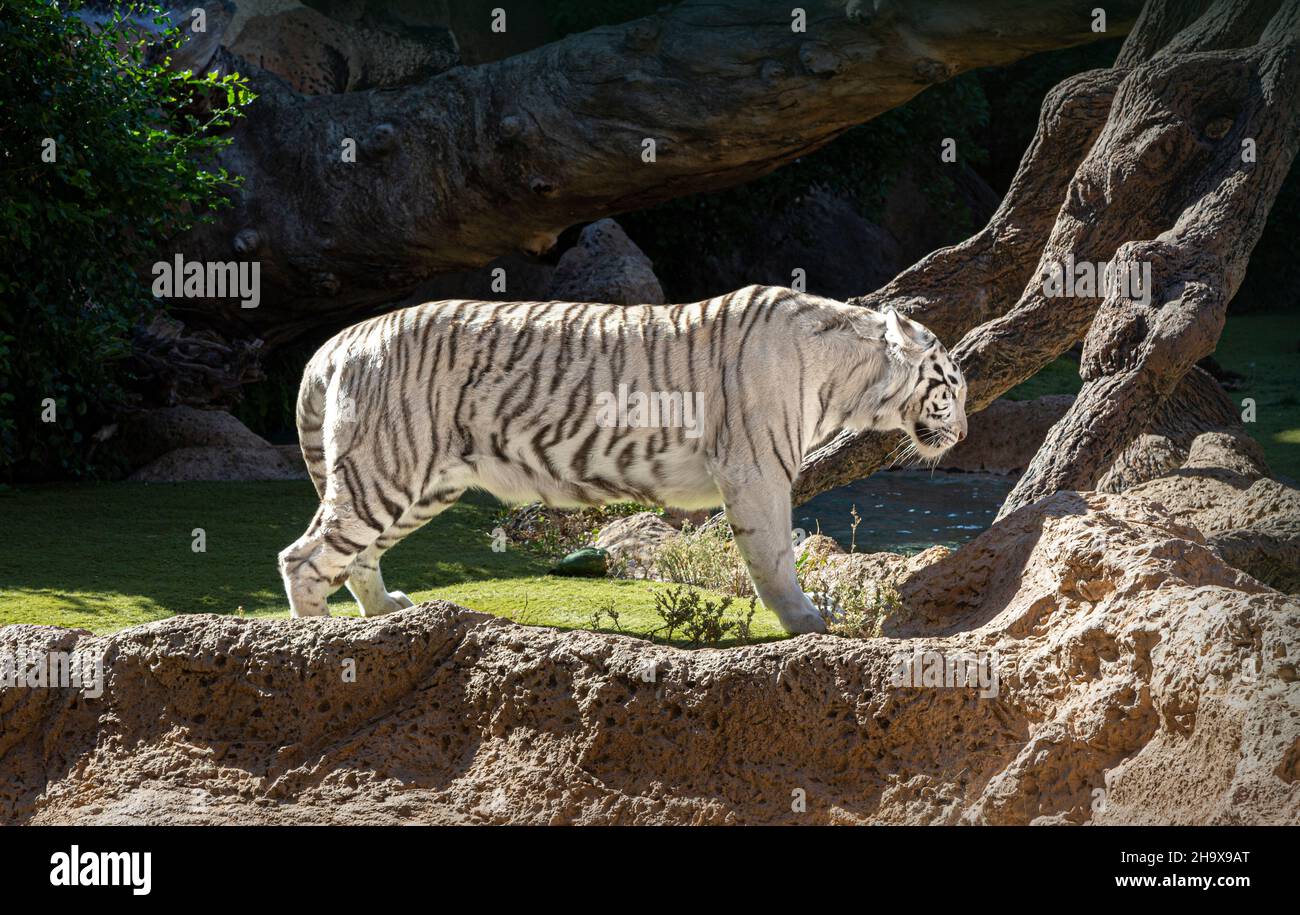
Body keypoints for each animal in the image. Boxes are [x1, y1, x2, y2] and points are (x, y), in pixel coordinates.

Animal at [278, 284, 968, 634]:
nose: (963, 432)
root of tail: (340, 341)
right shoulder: (756, 469)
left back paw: (383, 613)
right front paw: (808, 622)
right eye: (953, 387)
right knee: (304, 558)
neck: (851, 381)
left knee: (356, 555)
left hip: (422, 482)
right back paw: (317, 639)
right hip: (387, 469)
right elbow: (774, 556)